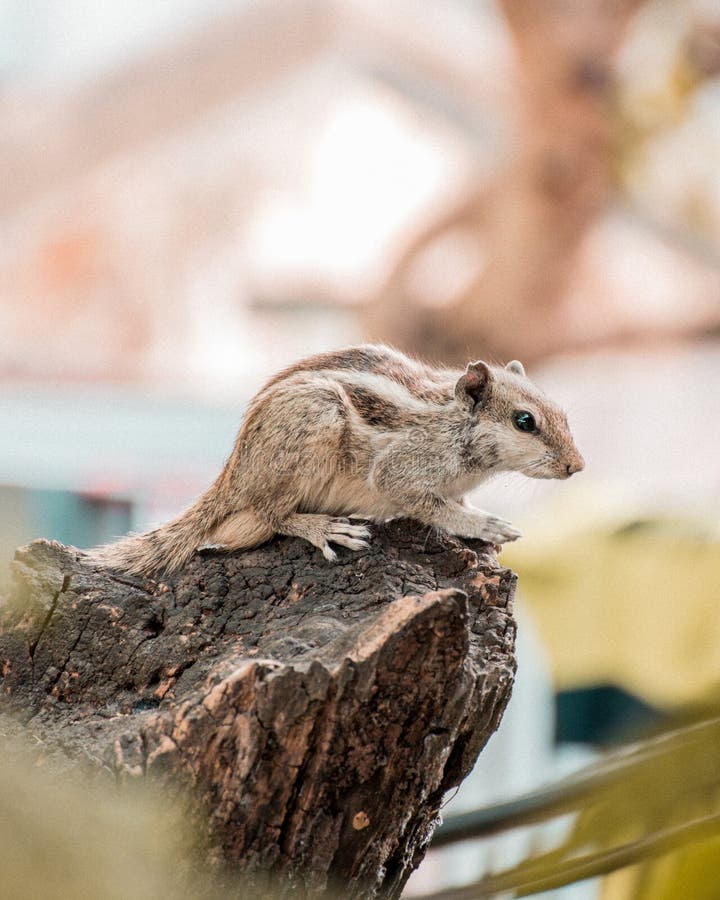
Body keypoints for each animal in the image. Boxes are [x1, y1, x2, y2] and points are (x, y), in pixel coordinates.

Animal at [92, 344, 584, 576]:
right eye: (525, 421)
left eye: (561, 411)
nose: (576, 466)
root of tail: (234, 476)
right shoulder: (401, 469)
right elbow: (426, 503)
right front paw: (487, 525)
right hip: (314, 425)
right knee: (273, 513)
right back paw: (323, 527)